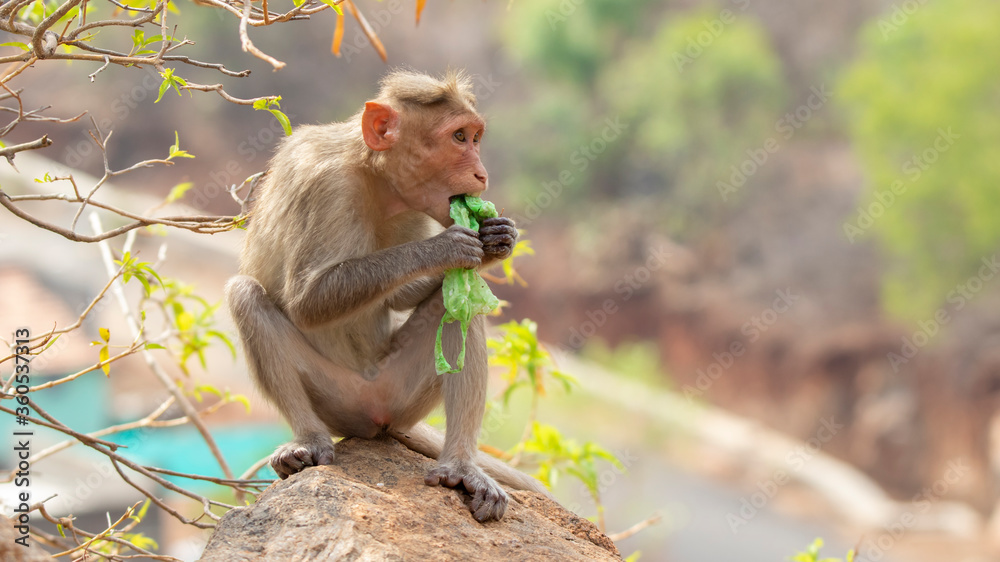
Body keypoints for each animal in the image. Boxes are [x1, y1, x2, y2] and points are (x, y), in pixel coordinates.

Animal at [225, 70, 548, 522]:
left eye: (475, 137)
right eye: (459, 137)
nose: (482, 175)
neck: (371, 172)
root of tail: (376, 418)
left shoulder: (412, 205)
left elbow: (403, 299)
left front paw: (495, 243)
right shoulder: (324, 185)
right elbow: (307, 301)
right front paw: (446, 248)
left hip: (401, 395)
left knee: (455, 309)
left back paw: (461, 467)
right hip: (338, 400)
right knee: (245, 294)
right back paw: (308, 441)